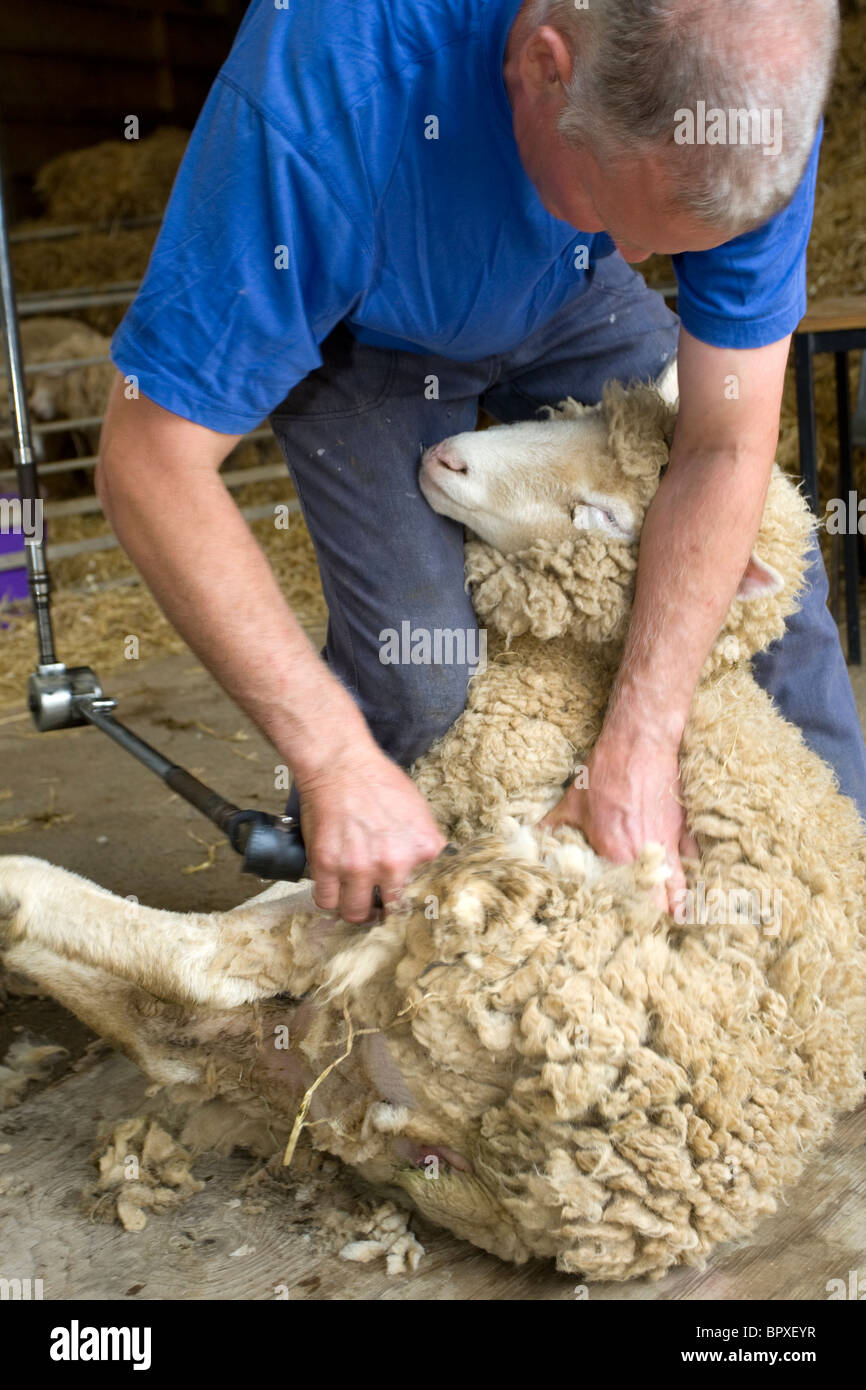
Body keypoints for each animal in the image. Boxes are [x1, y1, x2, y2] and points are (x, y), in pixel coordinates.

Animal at [1, 381, 864, 1282]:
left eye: (599, 515)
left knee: (213, 966)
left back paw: (19, 892)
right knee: (177, 1033)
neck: (584, 674)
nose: (449, 458)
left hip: (460, 925)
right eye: (578, 417)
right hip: (332, 1064)